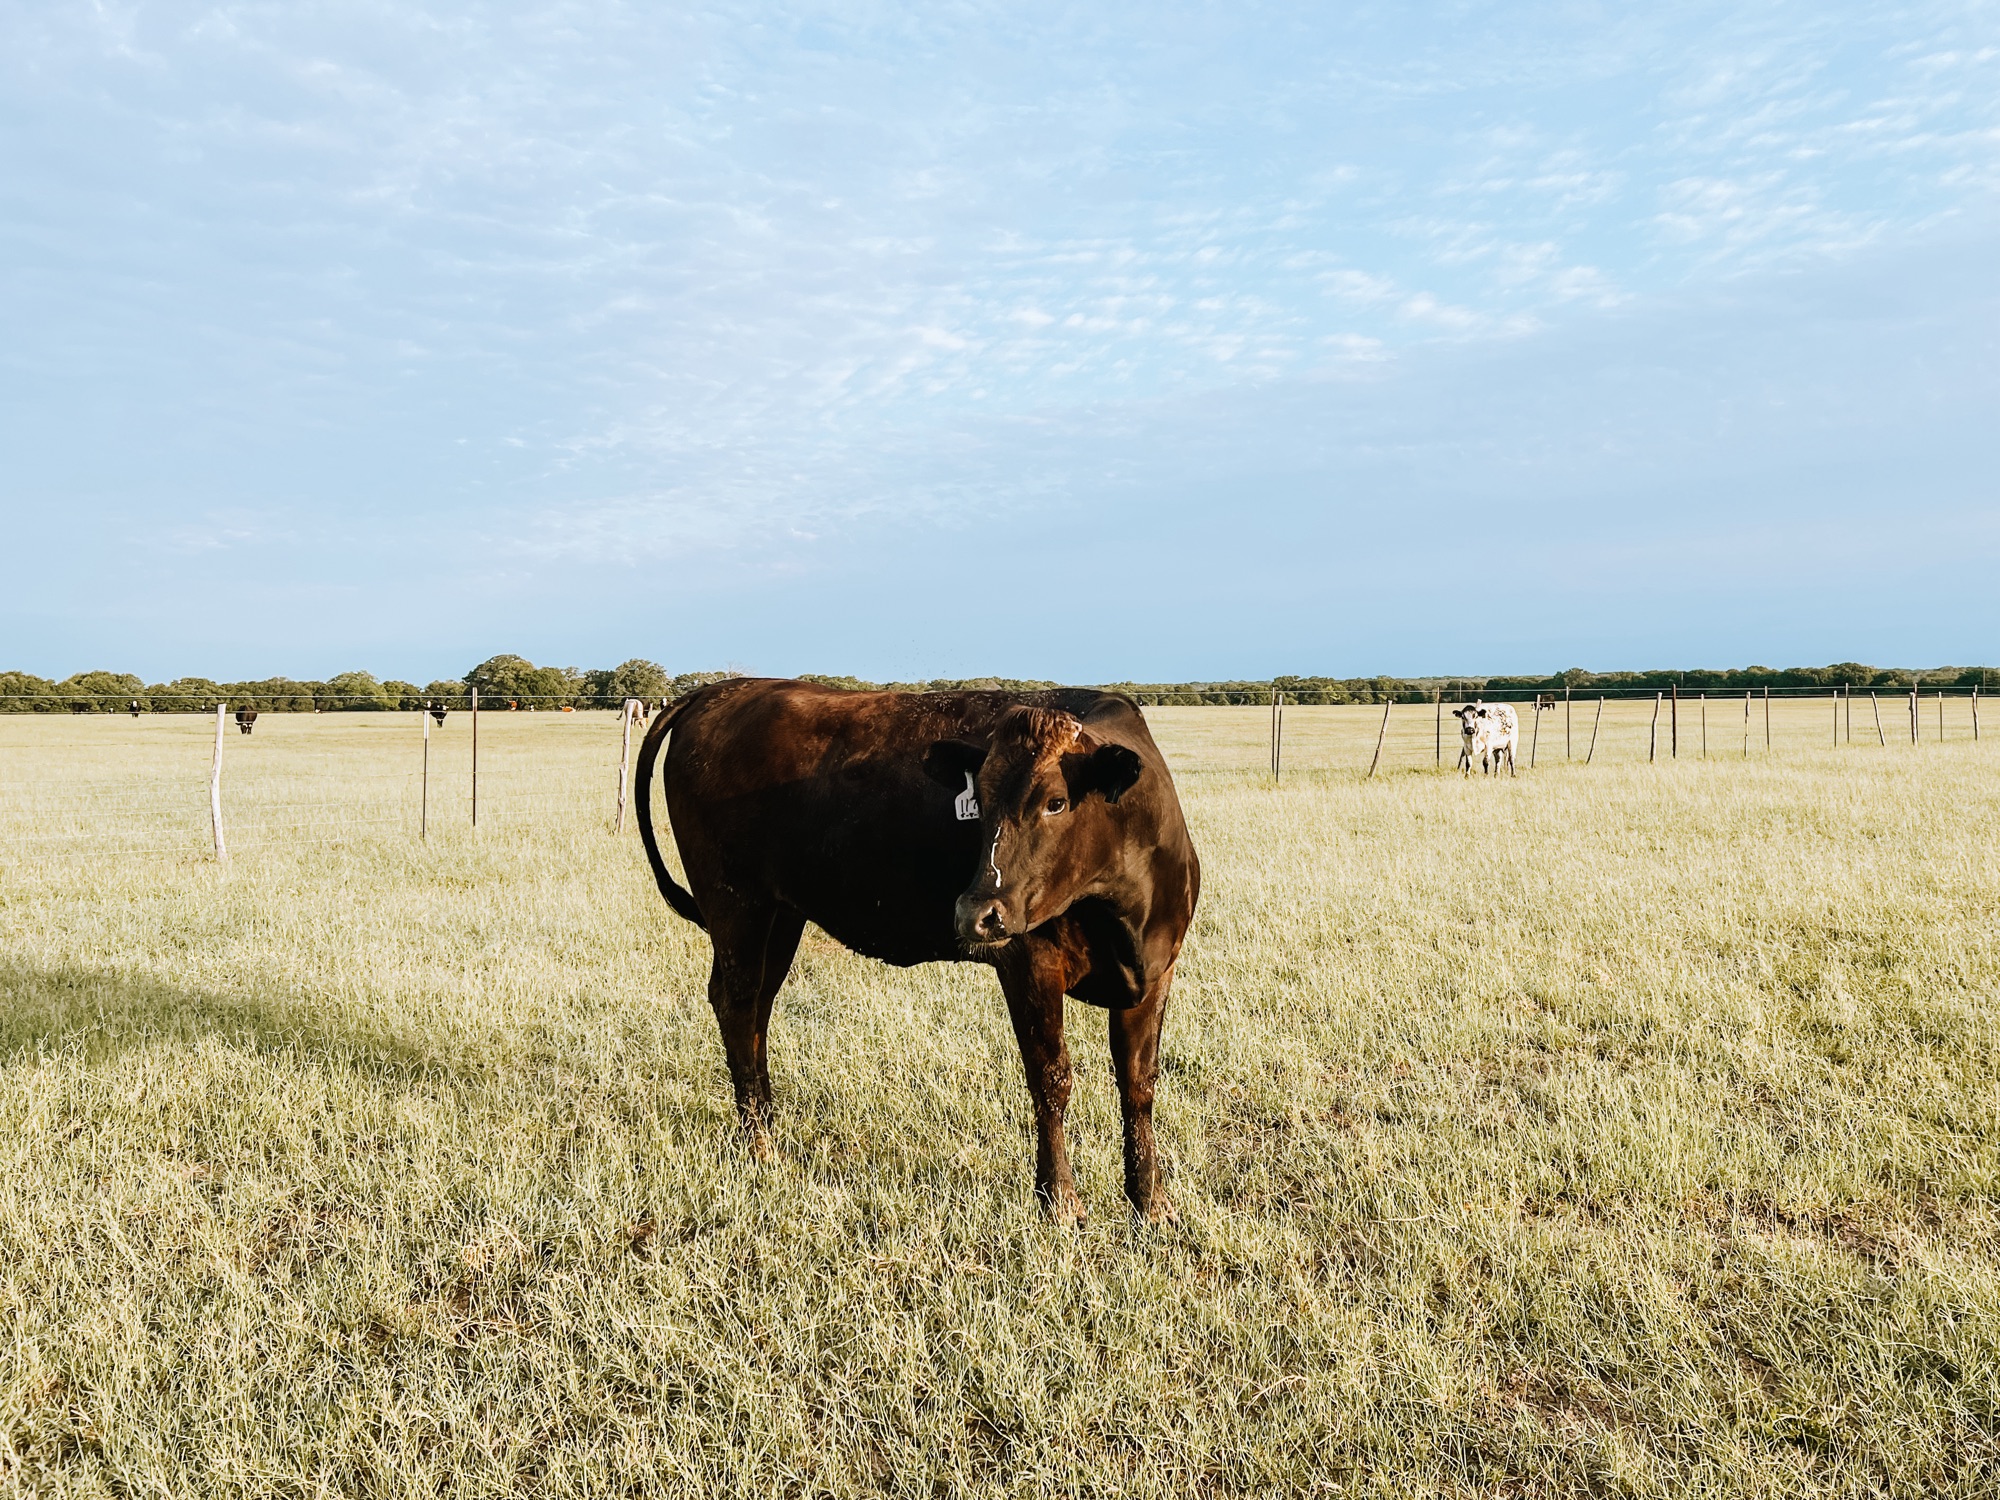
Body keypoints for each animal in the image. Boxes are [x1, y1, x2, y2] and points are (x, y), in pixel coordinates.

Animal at [635, 678, 1200, 1223]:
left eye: (1056, 801)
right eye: (980, 805)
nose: (974, 912)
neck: (1125, 912)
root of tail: (718, 691)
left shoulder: (1157, 972)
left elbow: (1138, 1082)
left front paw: (1151, 1201)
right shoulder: (1030, 964)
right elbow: (1051, 1078)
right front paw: (1060, 1199)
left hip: (779, 915)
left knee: (756, 1009)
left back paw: (769, 1127)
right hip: (737, 907)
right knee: (736, 1003)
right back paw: (758, 1144)